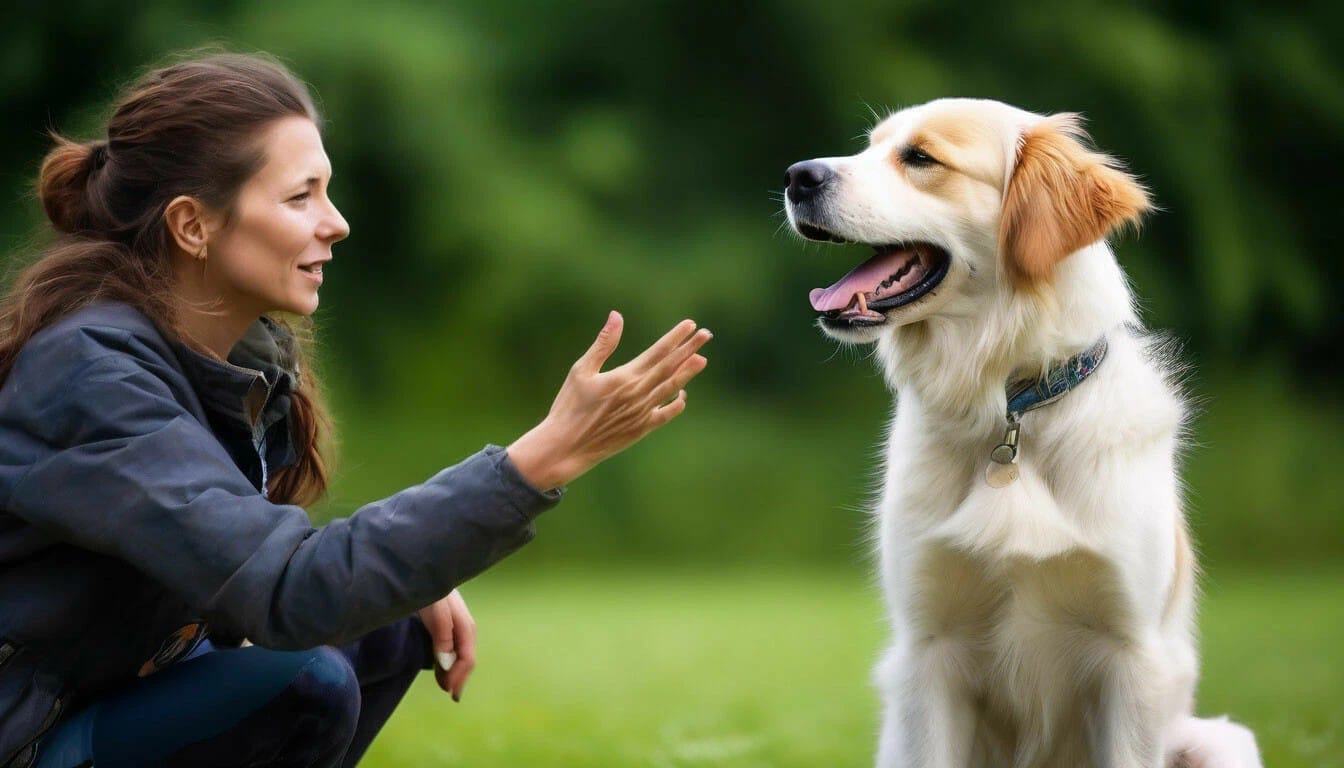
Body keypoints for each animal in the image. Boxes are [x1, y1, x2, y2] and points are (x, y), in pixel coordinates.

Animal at [784, 100, 1263, 768]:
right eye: (869, 146)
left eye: (920, 157)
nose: (796, 176)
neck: (1008, 406)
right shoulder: (929, 649)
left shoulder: (1131, 655)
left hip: (1218, 740)